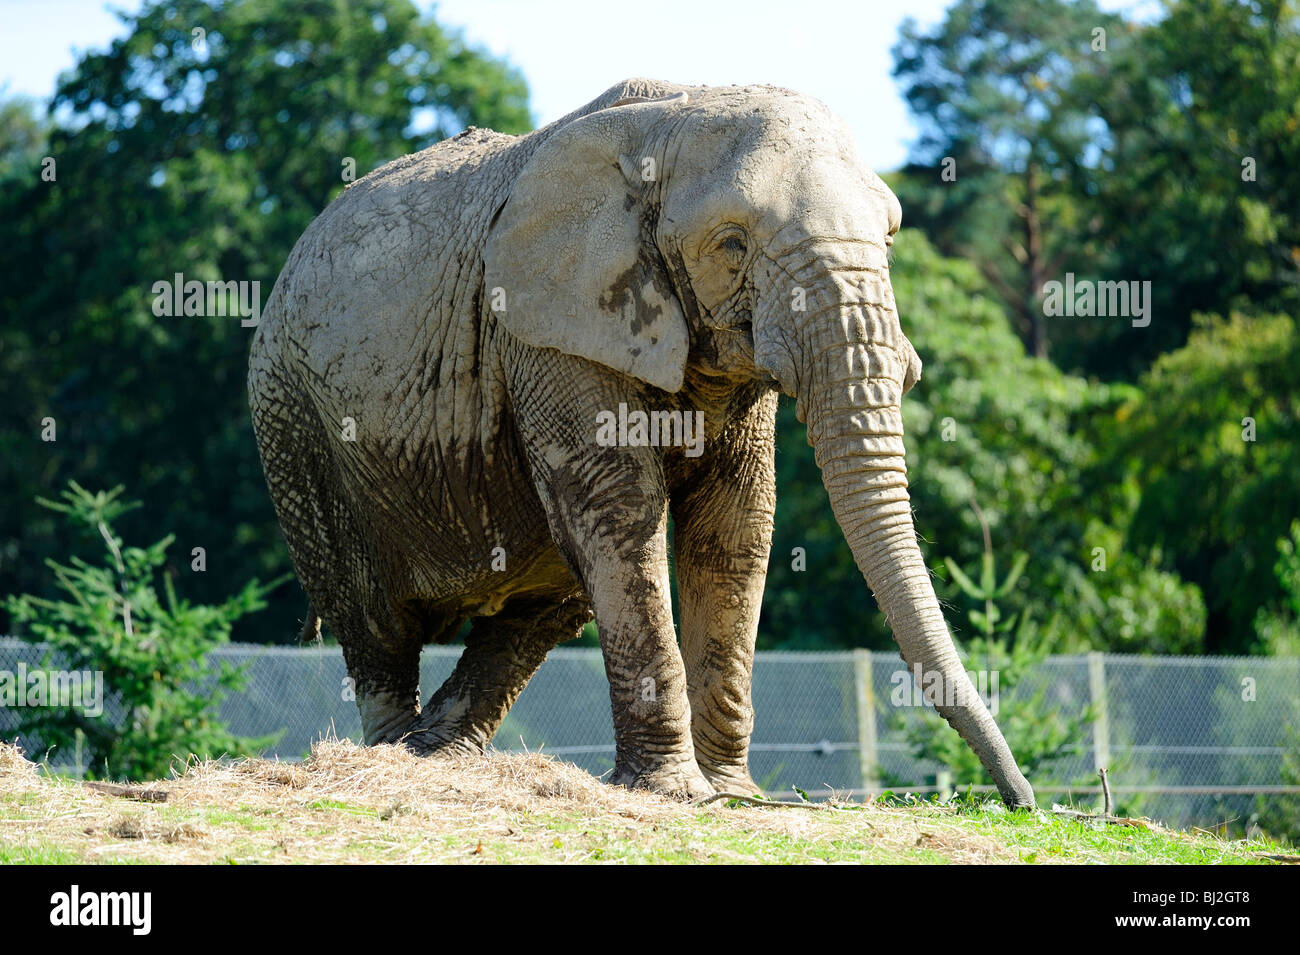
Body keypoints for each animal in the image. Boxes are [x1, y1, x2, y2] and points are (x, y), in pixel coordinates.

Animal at [247, 77, 1036, 808]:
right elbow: (622, 507)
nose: (1020, 800)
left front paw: (733, 796)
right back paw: (389, 759)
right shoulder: (550, 328)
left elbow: (735, 523)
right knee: (374, 618)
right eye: (732, 244)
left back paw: (437, 755)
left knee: (547, 601)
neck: (677, 111)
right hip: (292, 421)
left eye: (891, 238)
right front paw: (676, 794)